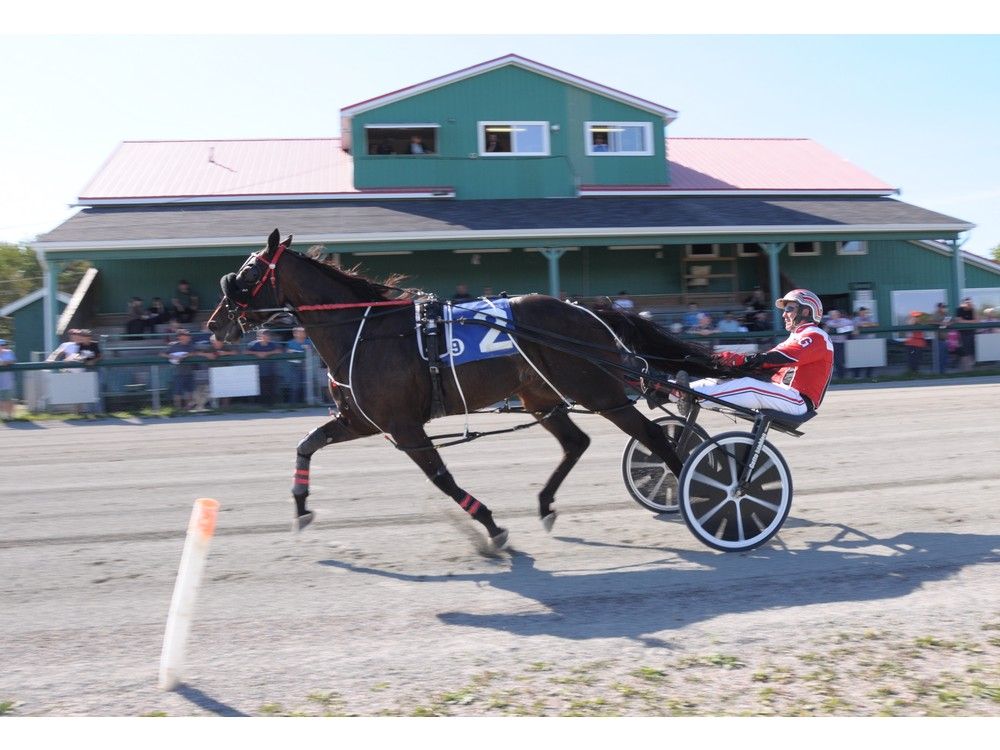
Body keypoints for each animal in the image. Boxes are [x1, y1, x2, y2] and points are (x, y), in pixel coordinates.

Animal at [207, 229, 752, 549]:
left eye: (247, 274)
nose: (215, 324)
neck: (366, 329)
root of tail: (587, 310)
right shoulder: (361, 420)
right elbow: (306, 445)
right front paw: (300, 509)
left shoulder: (402, 425)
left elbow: (441, 478)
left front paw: (491, 525)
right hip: (542, 396)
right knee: (577, 442)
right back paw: (546, 504)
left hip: (599, 392)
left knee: (655, 437)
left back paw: (714, 495)